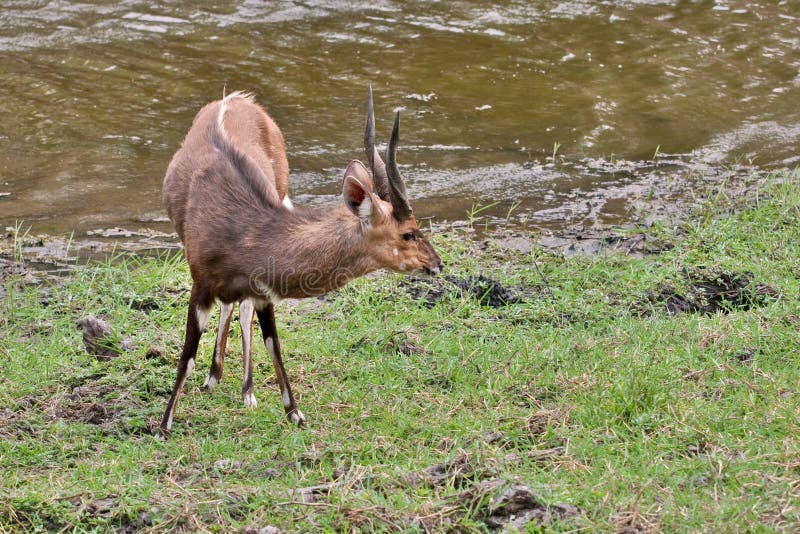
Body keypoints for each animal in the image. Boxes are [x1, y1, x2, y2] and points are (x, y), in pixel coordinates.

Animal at [159, 87, 443, 434]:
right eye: (409, 233)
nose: (437, 263)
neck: (248, 232)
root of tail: (235, 98)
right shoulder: (200, 284)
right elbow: (187, 354)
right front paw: (164, 424)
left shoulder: (261, 291)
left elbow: (273, 342)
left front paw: (294, 413)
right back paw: (214, 379)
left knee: (240, 309)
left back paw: (243, 388)